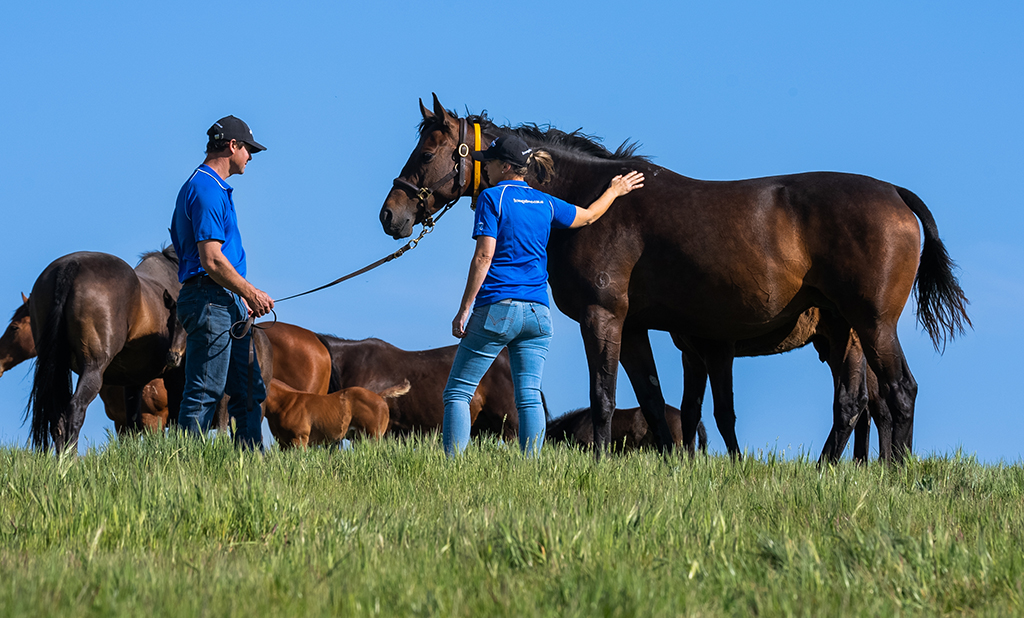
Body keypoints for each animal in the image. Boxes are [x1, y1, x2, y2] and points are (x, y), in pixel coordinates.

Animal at [27, 247, 186, 451]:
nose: (173, 356)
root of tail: (70, 265)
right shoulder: (175, 376)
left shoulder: (133, 382)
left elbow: (133, 423)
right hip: (94, 368)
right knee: (75, 409)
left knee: (57, 418)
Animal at [379, 95, 970, 462]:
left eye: (427, 151)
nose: (391, 214)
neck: (586, 196)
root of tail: (894, 194)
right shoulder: (639, 328)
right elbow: (657, 400)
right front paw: (671, 462)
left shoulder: (603, 317)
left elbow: (604, 395)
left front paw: (599, 460)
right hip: (849, 332)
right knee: (861, 403)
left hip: (873, 325)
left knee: (897, 393)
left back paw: (893, 473)